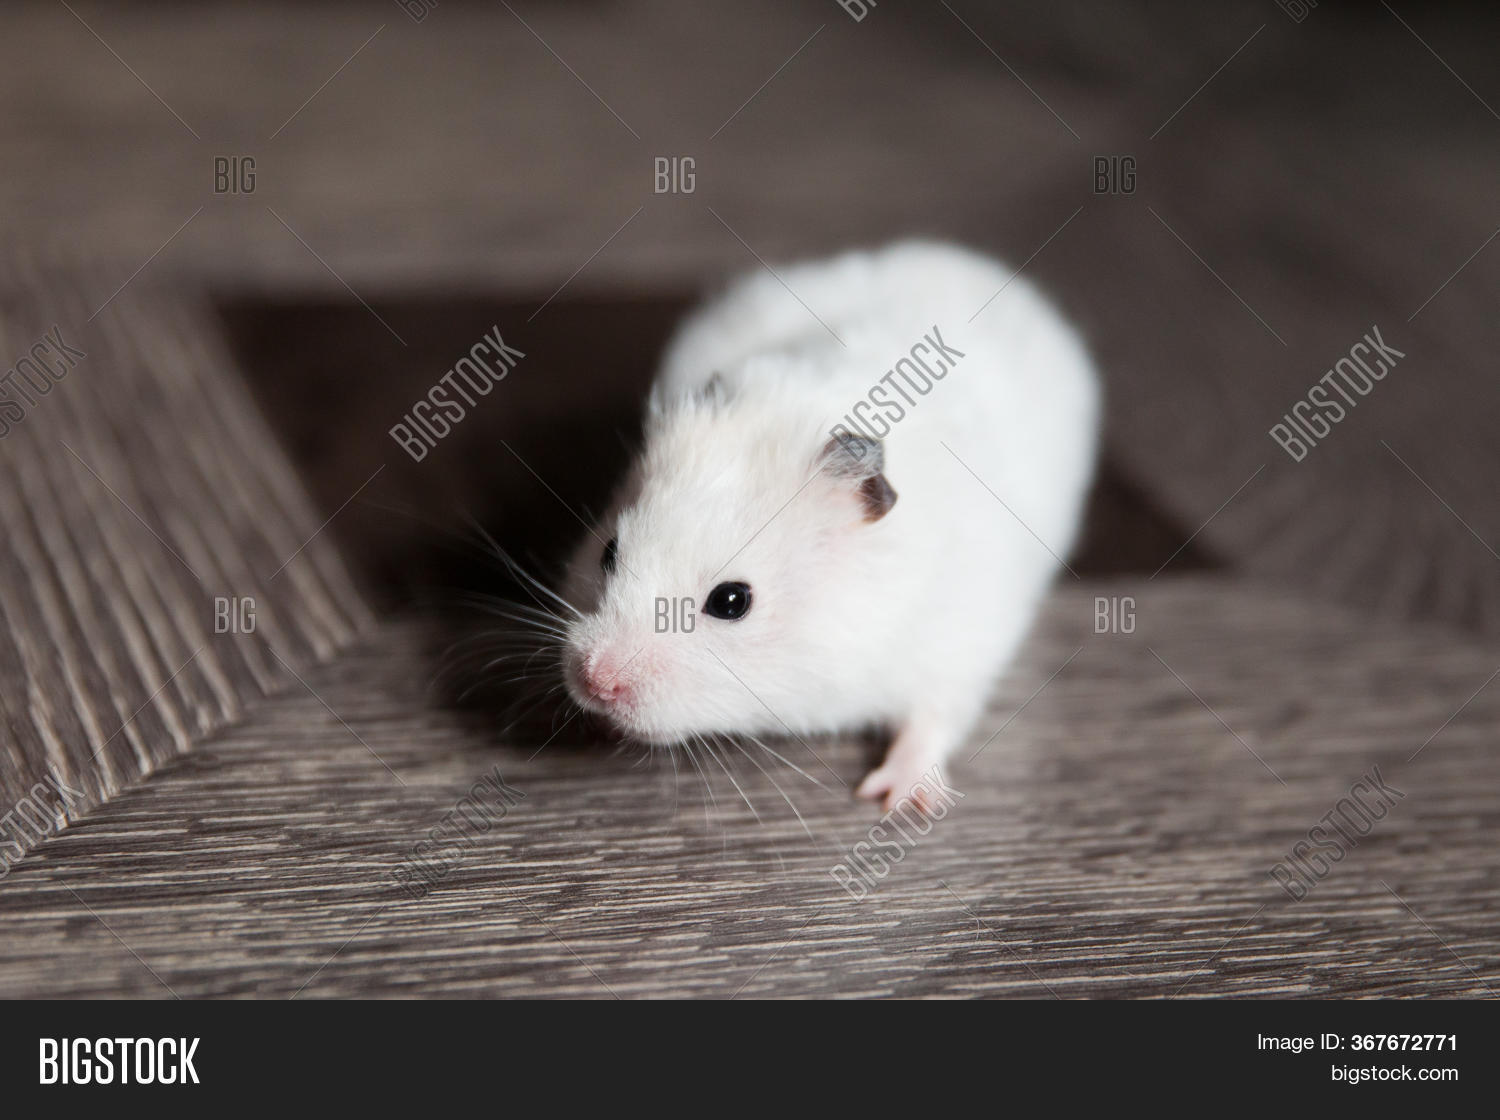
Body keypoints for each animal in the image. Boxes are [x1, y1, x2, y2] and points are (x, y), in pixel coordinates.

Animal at [557, 240, 1100, 811]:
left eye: (731, 601)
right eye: (608, 552)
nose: (595, 682)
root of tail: (964, 259)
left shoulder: (957, 642)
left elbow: (932, 719)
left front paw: (895, 799)